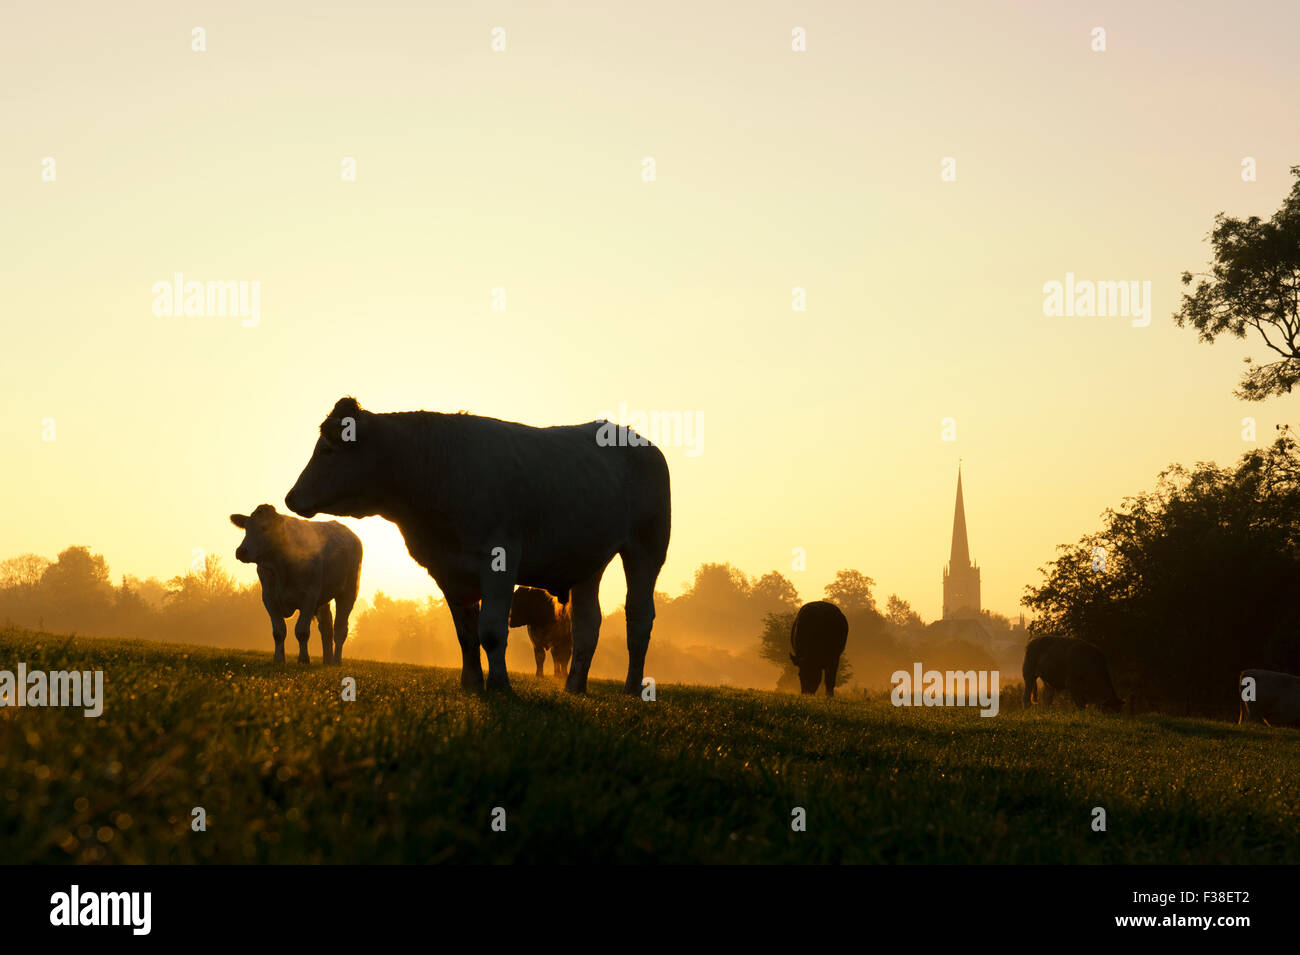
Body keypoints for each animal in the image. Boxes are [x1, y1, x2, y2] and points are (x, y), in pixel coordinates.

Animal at [230, 503, 362, 665]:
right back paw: (327, 660)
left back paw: (336, 661)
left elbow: (302, 631)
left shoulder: (310, 597)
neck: (280, 565)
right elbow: (278, 631)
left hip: (349, 591)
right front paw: (279, 659)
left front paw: (304, 659)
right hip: (324, 597)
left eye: (265, 528)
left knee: (340, 629)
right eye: (246, 528)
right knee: (326, 627)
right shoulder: (269, 598)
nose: (241, 551)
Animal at [284, 397, 671, 695]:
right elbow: (465, 633)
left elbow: (491, 630)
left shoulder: (501, 561)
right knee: (586, 625)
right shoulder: (447, 570)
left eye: (328, 450)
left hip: (647, 548)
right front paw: (471, 683)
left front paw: (500, 686)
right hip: (586, 563)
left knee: (639, 618)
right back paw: (574, 687)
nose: (291, 497)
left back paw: (631, 687)